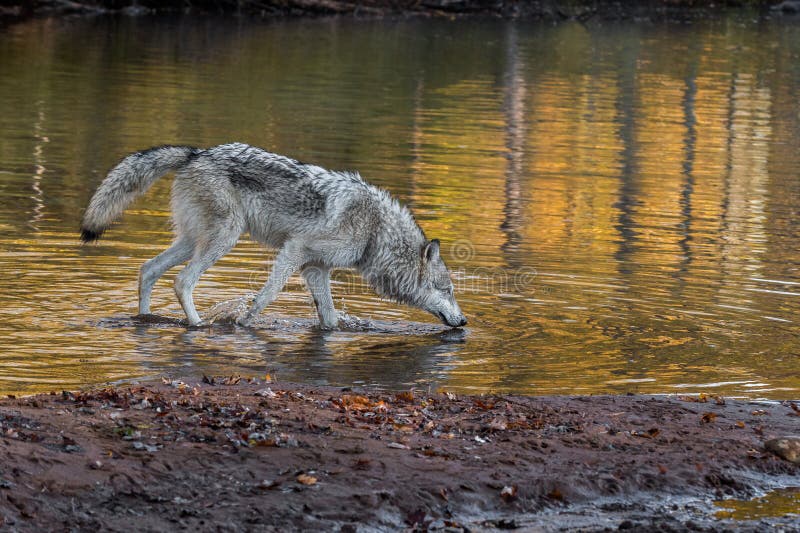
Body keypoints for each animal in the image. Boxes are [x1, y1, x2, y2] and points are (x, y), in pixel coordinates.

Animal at [80, 143, 467, 329]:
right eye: (447, 290)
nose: (465, 321)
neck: (376, 231)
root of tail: (196, 153)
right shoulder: (294, 249)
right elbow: (267, 295)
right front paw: (244, 321)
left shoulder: (316, 269)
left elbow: (329, 318)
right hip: (223, 239)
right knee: (182, 281)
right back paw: (198, 324)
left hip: (194, 240)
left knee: (148, 269)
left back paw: (145, 319)